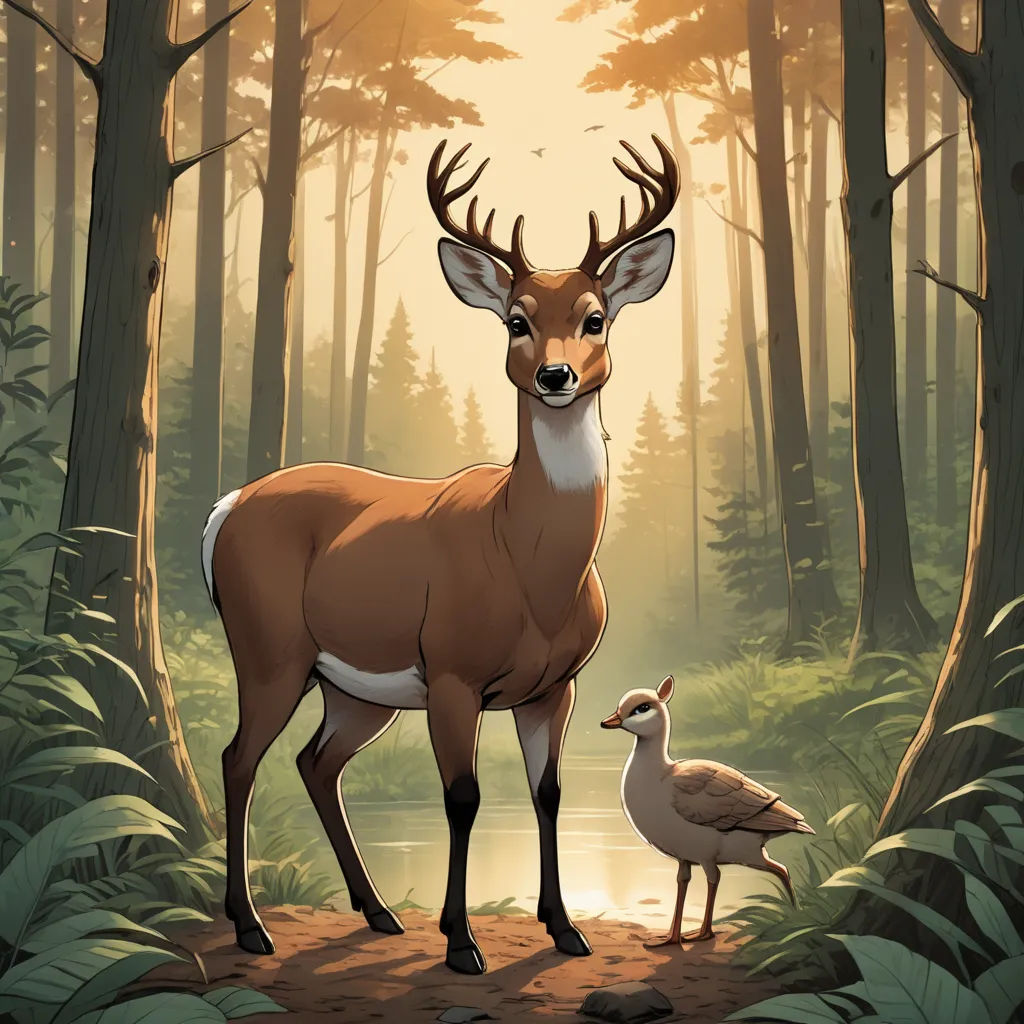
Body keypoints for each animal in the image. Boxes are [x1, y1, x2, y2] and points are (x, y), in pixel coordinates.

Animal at [202, 134, 680, 975]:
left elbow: (549, 794)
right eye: (516, 321)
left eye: (595, 318)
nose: (556, 374)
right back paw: (252, 925)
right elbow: (462, 798)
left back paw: (378, 912)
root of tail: (224, 509)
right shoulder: (455, 672)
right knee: (239, 758)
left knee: (315, 762)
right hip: (268, 648)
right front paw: (462, 942)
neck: (530, 567)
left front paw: (565, 929)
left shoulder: (555, 686)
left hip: (354, 687)